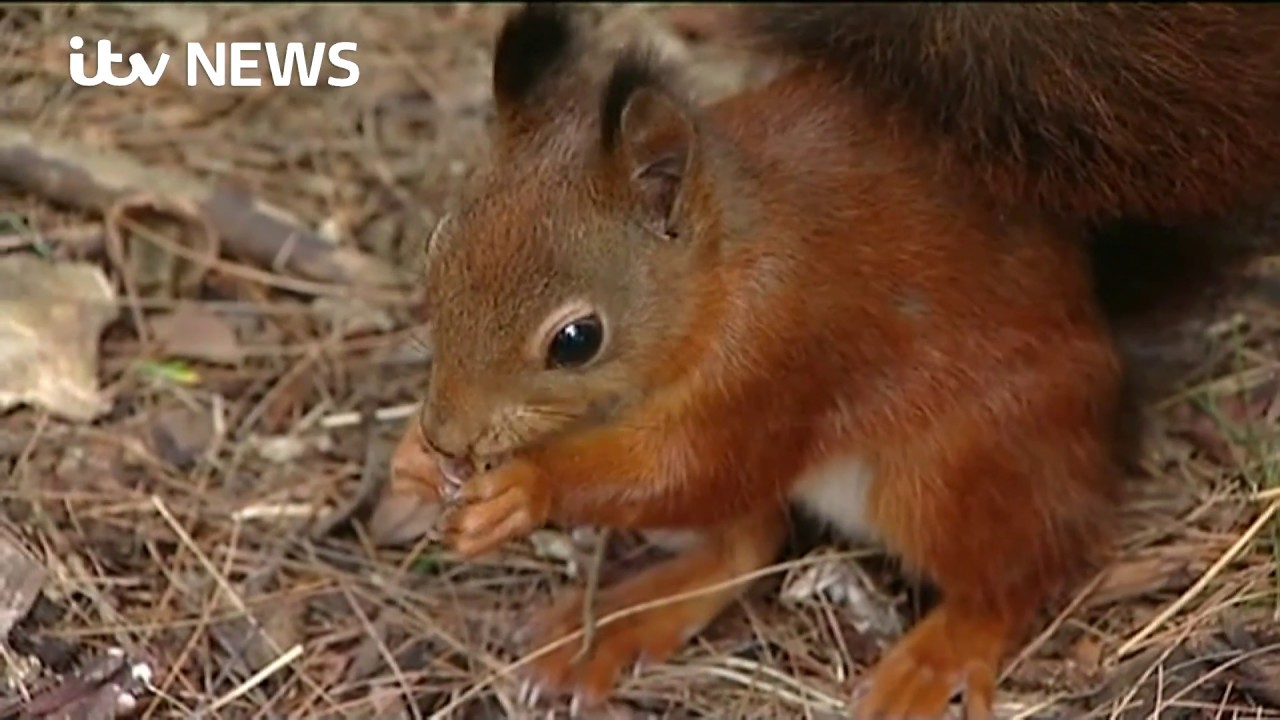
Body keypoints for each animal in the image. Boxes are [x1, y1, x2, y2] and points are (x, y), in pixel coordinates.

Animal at [381, 4, 1280, 719]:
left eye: (576, 340)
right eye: (437, 250)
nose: (448, 433)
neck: (725, 266)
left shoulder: (779, 352)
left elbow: (689, 468)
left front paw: (526, 487)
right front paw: (414, 465)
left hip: (957, 466)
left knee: (1022, 571)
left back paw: (940, 654)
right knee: (747, 543)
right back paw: (610, 626)